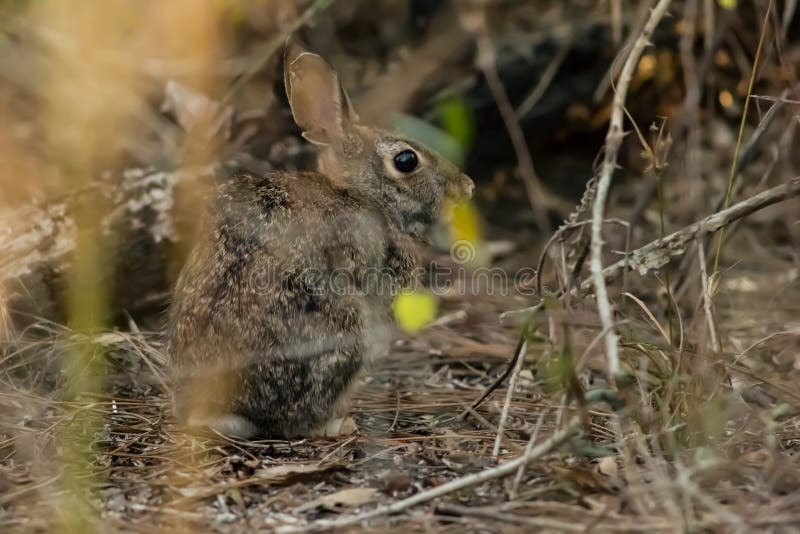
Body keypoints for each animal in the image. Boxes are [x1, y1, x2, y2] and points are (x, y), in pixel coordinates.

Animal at [166, 41, 474, 439]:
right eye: (406, 161)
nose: (466, 186)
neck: (359, 193)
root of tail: (219, 408)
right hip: (342, 332)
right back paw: (338, 424)